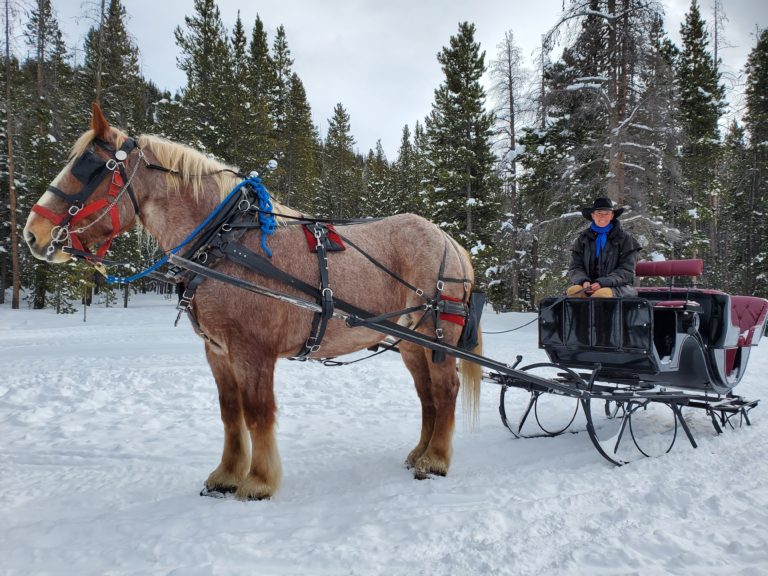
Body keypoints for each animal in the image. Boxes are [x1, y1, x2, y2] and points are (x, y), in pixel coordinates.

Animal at [23, 103, 483, 500]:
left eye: (89, 168)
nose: (32, 234)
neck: (226, 241)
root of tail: (450, 241)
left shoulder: (253, 349)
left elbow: (259, 413)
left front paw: (259, 481)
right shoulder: (217, 351)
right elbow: (231, 414)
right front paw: (226, 475)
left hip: (437, 334)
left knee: (446, 389)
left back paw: (436, 460)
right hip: (411, 343)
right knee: (427, 395)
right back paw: (419, 452)